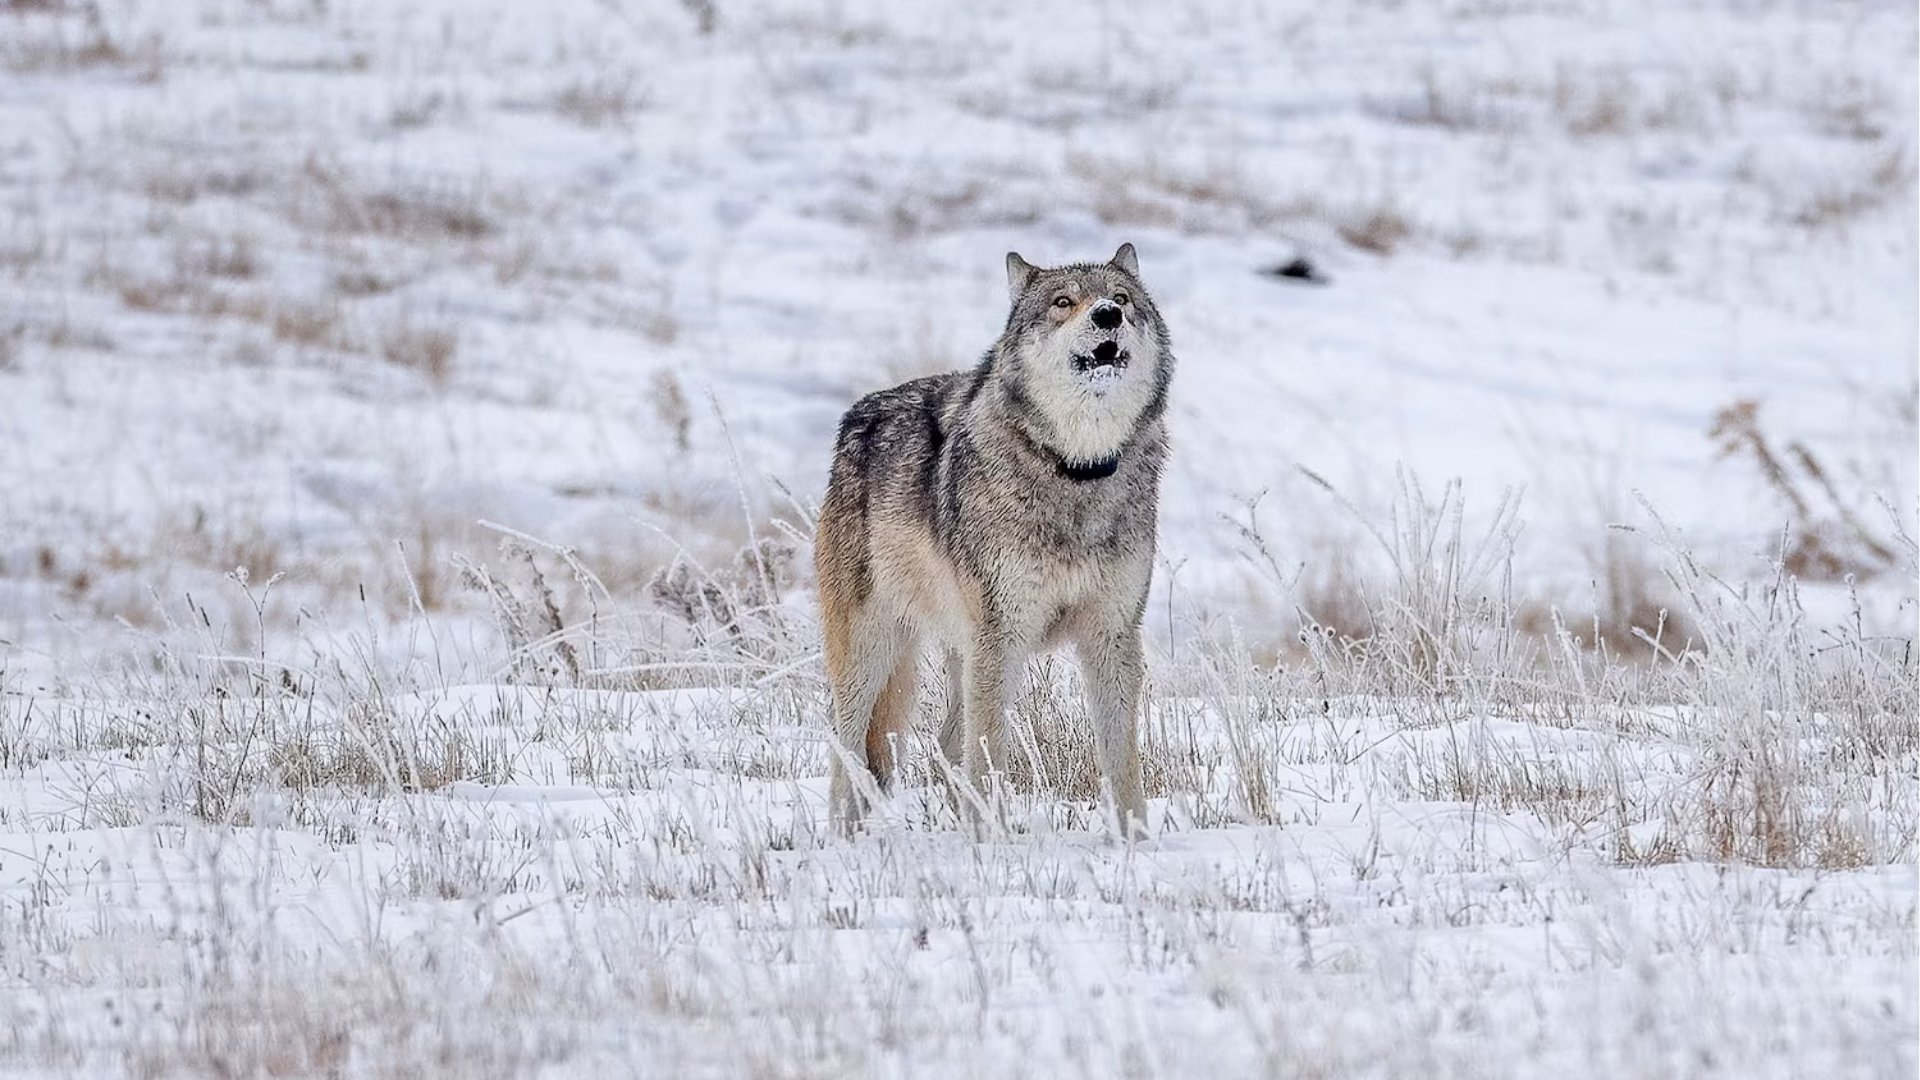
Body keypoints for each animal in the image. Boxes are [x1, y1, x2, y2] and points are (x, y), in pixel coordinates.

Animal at [815, 243, 1173, 837]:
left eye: (1122, 299)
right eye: (1063, 302)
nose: (1106, 316)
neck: (1076, 470)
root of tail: (857, 417)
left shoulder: (1112, 635)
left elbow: (1122, 760)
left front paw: (1137, 841)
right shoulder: (1001, 638)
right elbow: (989, 760)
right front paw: (988, 842)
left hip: (961, 655)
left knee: (945, 743)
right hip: (874, 652)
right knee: (847, 750)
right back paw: (844, 838)